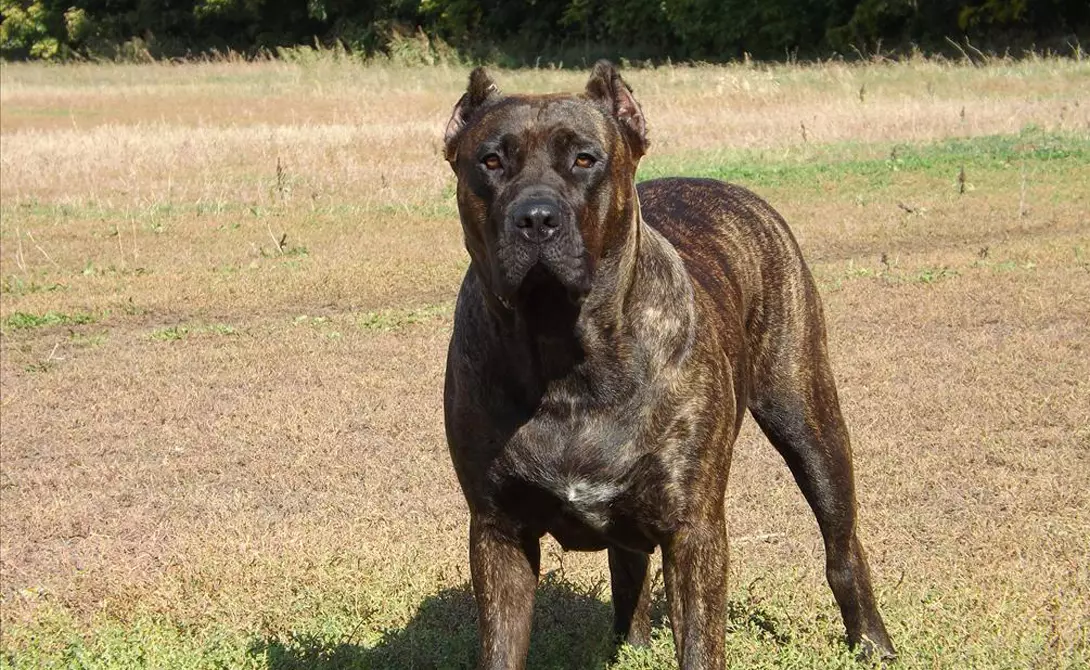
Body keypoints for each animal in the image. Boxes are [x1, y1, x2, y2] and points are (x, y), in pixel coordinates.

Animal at [440, 60, 893, 666]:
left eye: (584, 159)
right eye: (490, 161)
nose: (535, 217)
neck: (565, 353)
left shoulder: (694, 530)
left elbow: (700, 644)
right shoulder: (499, 533)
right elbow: (502, 647)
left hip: (808, 422)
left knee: (841, 545)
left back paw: (871, 641)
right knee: (628, 564)